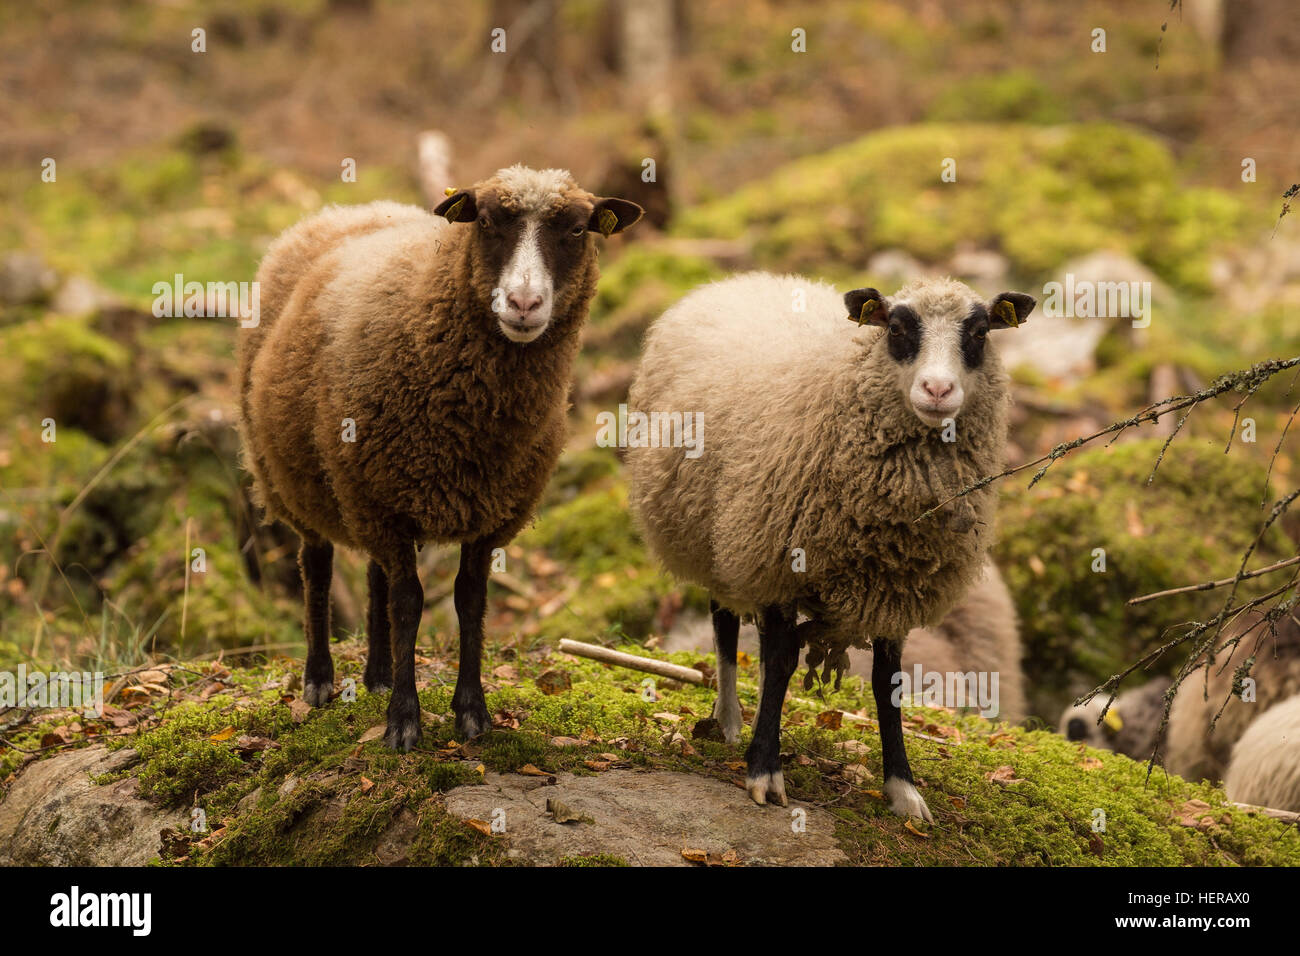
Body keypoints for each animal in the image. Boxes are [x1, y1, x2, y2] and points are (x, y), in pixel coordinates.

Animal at [237, 165, 642, 750]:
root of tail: (343, 210)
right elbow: (410, 604)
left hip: (369, 490)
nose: (523, 304)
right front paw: (404, 722)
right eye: (488, 222)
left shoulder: (487, 511)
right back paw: (319, 680)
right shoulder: (383, 501)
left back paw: (378, 675)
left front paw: (471, 711)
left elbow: (469, 600)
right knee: (316, 565)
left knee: (376, 576)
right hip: (295, 478)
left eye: (576, 229)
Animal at [626, 272, 1036, 819]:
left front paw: (902, 788)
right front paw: (764, 771)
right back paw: (730, 719)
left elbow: (887, 684)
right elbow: (780, 662)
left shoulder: (893, 590)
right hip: (716, 537)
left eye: (980, 333)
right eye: (897, 329)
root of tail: (739, 280)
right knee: (725, 624)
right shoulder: (776, 559)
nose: (938, 389)